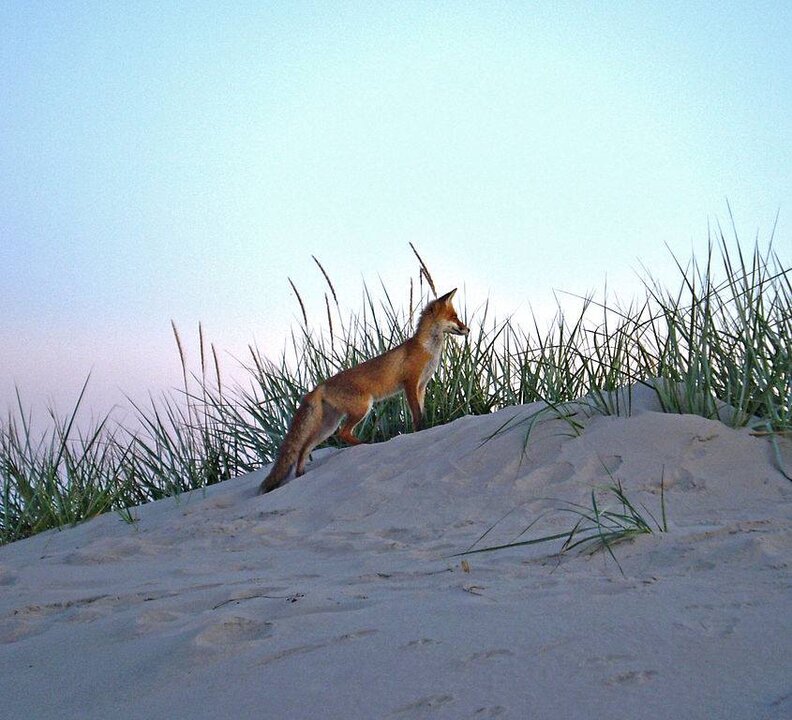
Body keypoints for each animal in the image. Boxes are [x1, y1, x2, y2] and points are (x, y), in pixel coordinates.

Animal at [259, 289, 470, 493]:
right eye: (455, 317)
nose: (468, 329)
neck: (428, 349)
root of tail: (320, 385)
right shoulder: (410, 384)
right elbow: (417, 416)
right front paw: (420, 433)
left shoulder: (422, 386)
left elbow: (422, 413)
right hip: (361, 408)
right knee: (342, 434)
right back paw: (366, 445)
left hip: (329, 425)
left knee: (305, 447)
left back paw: (301, 475)